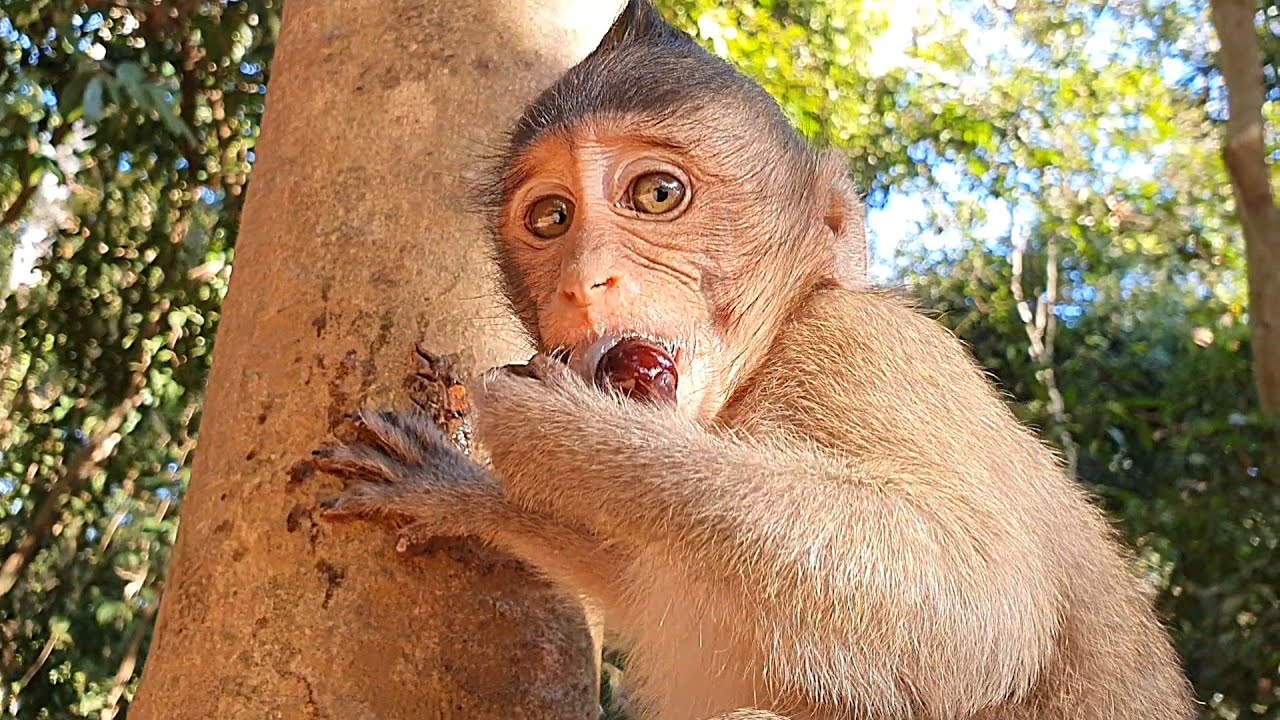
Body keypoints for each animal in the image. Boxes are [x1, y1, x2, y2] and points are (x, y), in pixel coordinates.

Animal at [311, 1, 1198, 718]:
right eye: (551, 217)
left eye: (657, 195)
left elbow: (986, 606)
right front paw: (455, 490)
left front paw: (566, 438)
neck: (754, 374)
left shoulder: (865, 351)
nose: (583, 279)